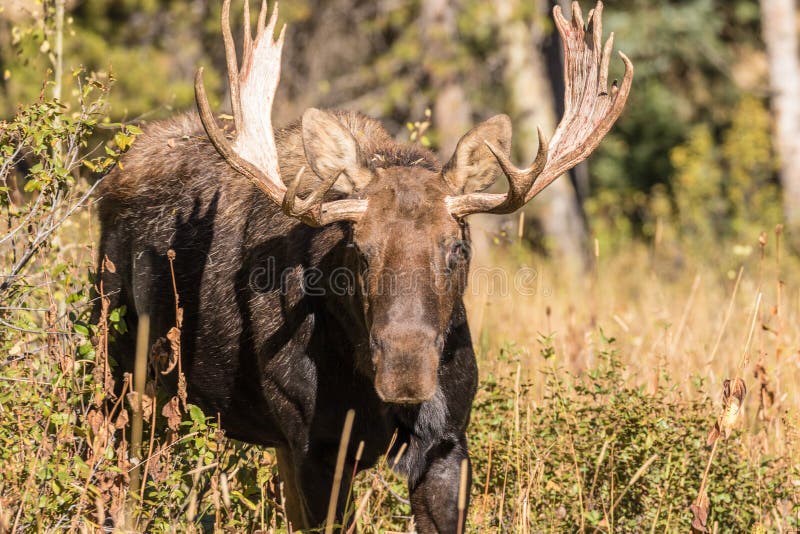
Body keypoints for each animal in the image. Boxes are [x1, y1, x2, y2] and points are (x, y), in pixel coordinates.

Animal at [93, 0, 631, 531]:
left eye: (457, 247)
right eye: (359, 248)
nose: (406, 370)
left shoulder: (448, 441)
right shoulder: (317, 446)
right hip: (124, 372)